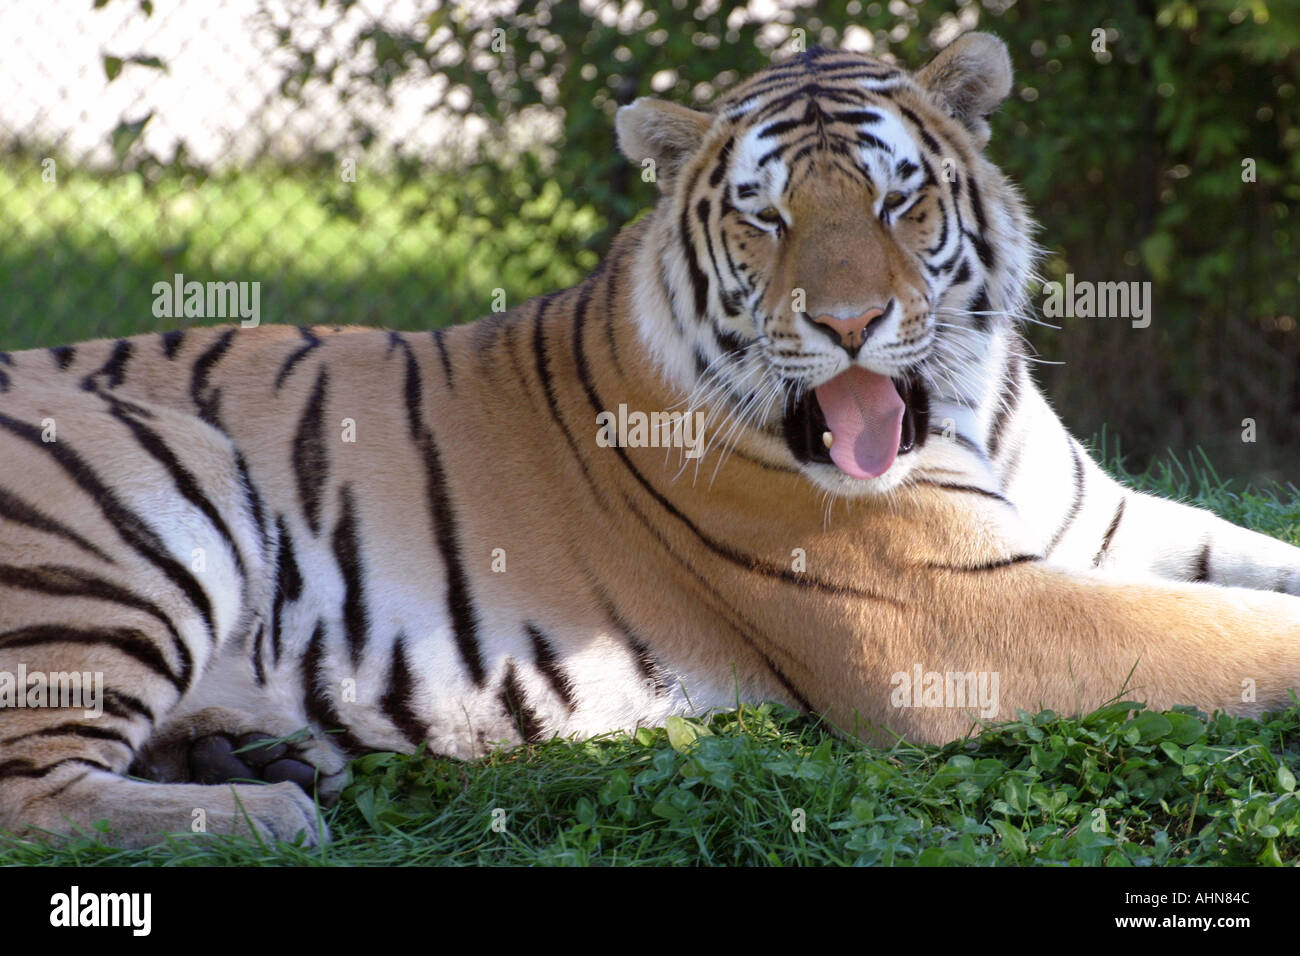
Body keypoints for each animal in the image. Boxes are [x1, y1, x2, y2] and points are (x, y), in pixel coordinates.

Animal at [2, 31, 1300, 848]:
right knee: (32, 794)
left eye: (898, 200)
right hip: (148, 489)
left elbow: (1252, 561)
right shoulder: (962, 614)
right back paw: (266, 813)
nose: (846, 325)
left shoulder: (1099, 519)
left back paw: (260, 756)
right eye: (764, 217)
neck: (967, 398)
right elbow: (1226, 630)